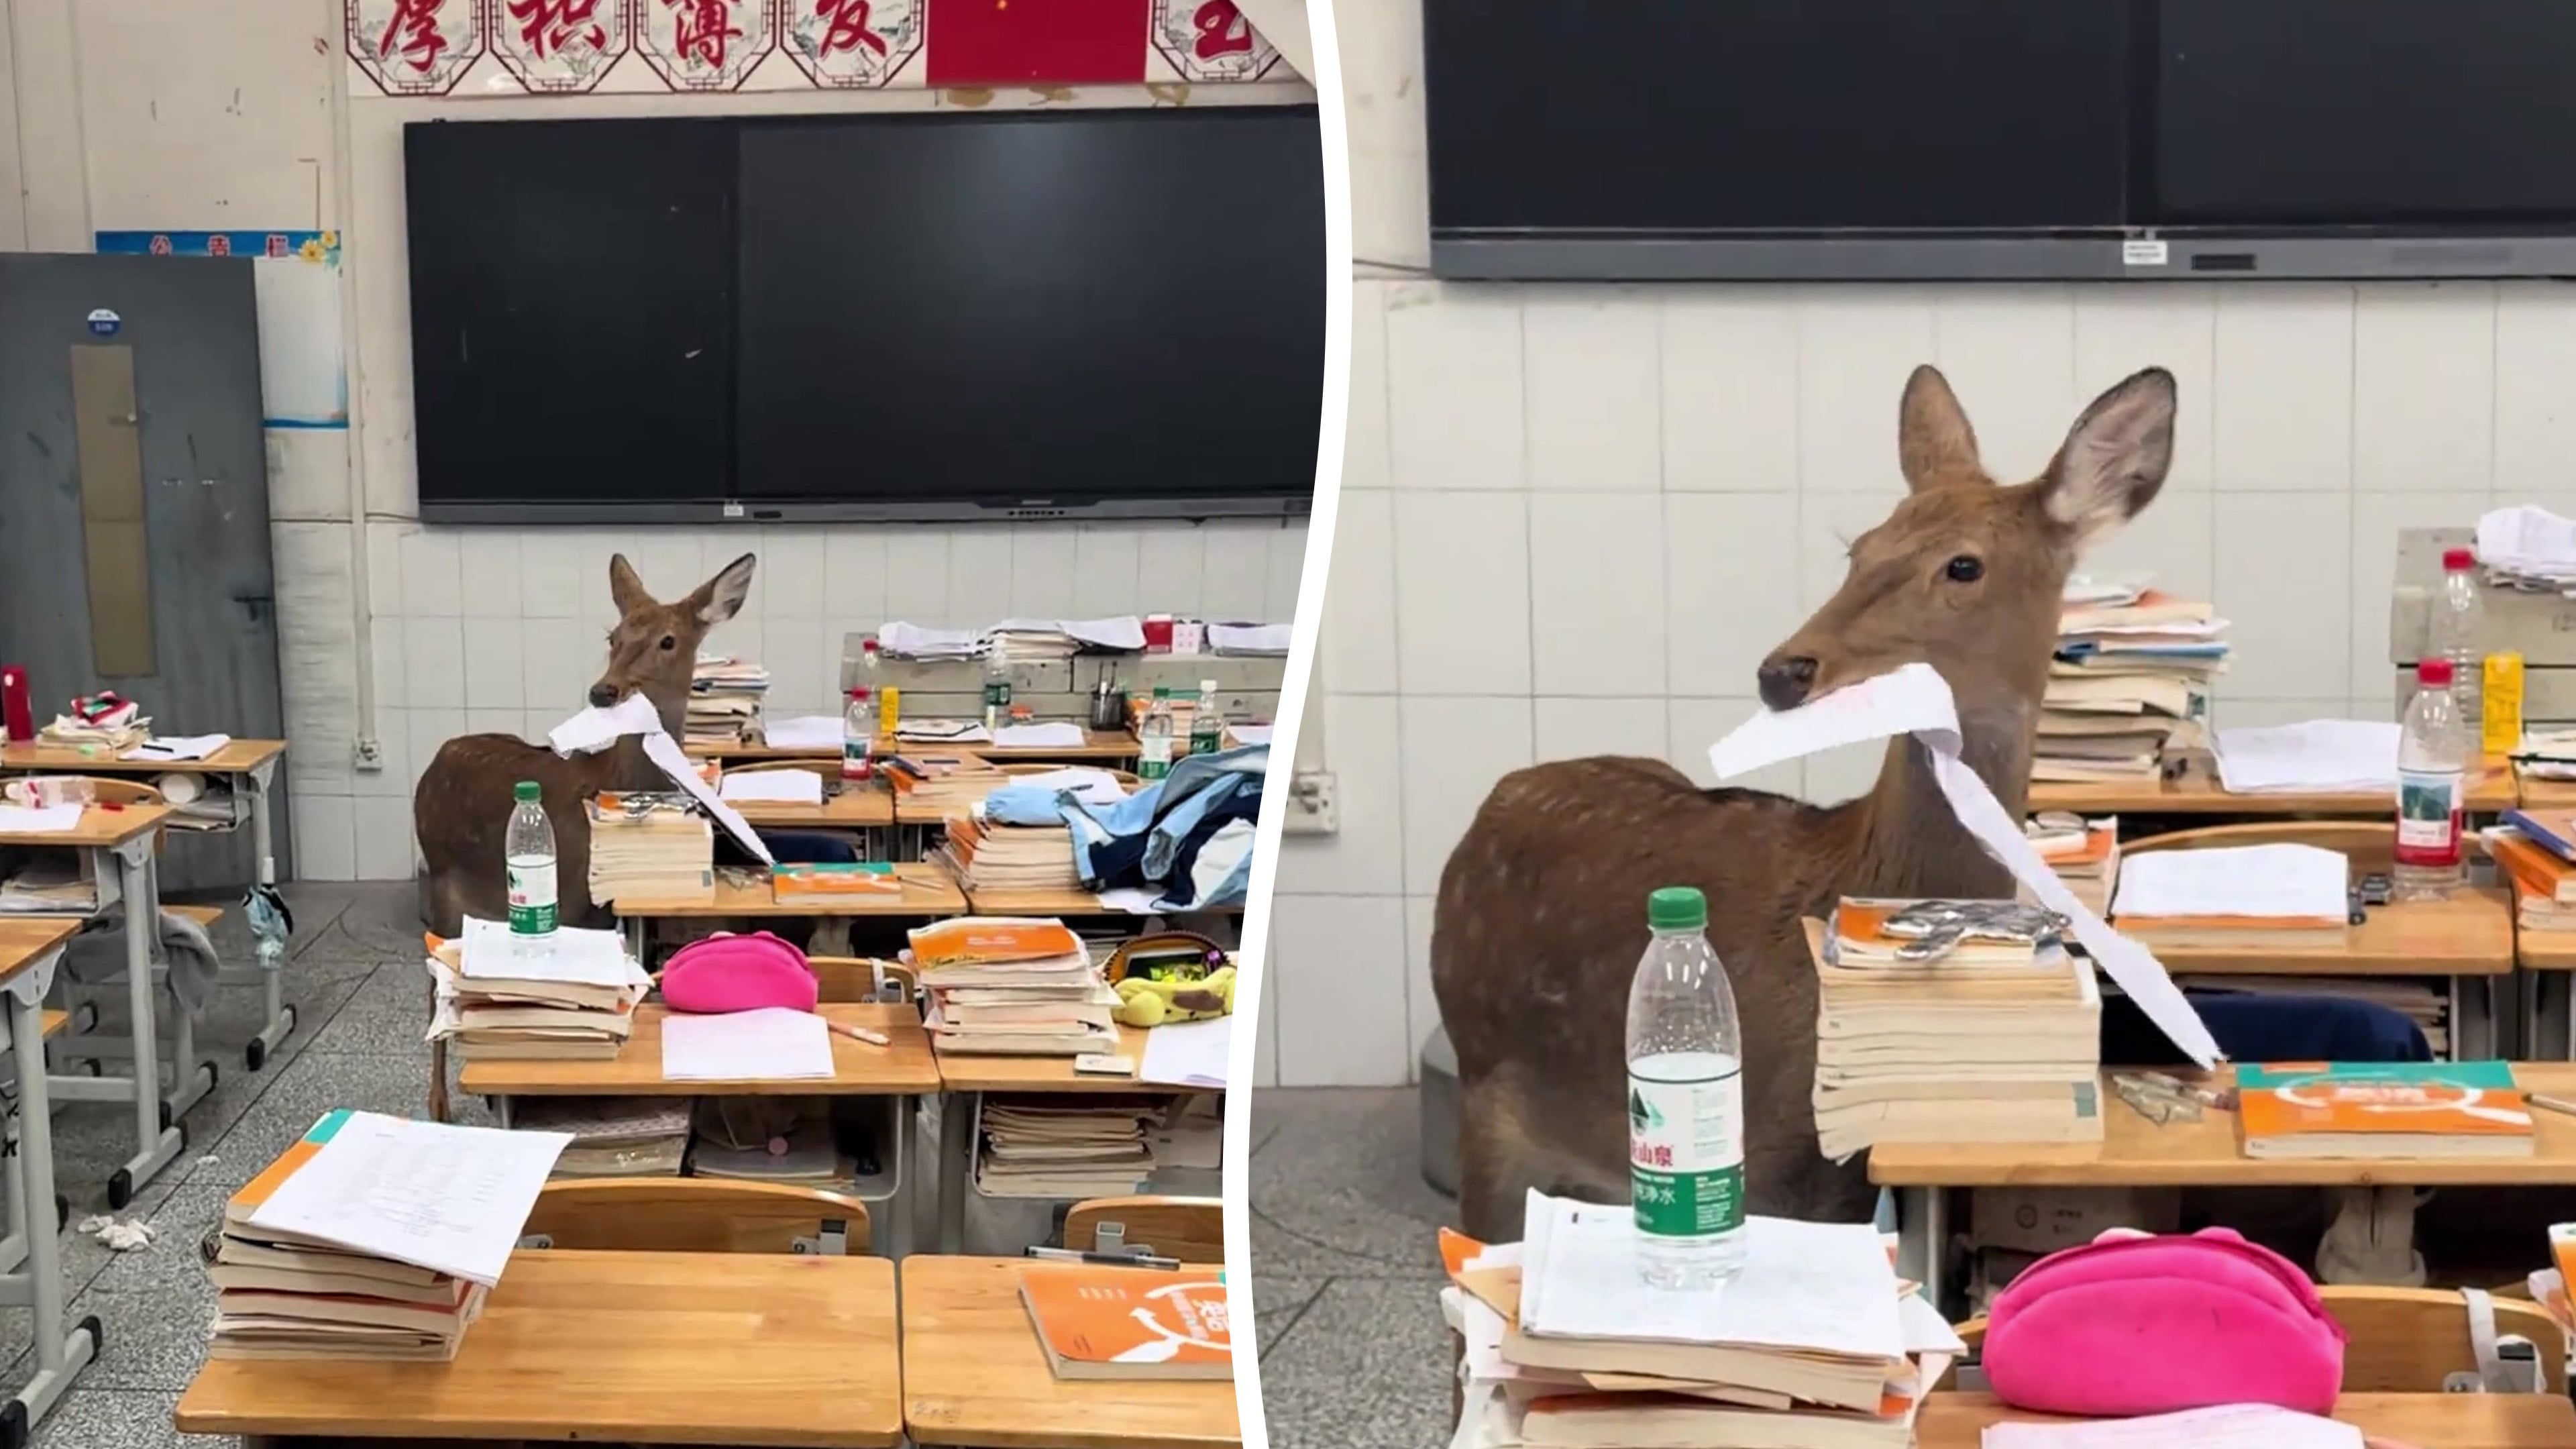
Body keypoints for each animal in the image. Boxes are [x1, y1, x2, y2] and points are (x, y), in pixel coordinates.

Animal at [413, 551, 757, 939]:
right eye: (613, 637)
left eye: (668, 641)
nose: (603, 691)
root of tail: (433, 767)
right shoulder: (574, 905)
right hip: (446, 890)